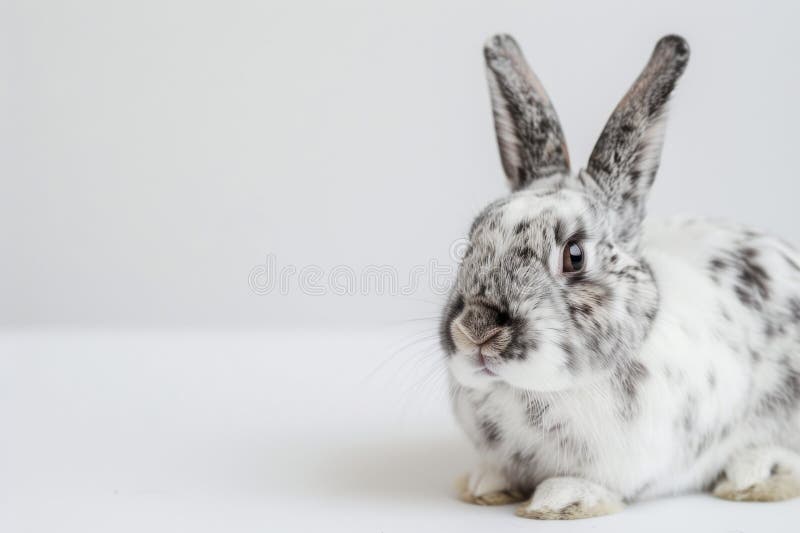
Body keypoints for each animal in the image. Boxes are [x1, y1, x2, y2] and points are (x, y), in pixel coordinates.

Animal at [439, 33, 800, 520]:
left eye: (574, 255)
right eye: (471, 240)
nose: (476, 329)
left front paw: (559, 500)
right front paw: (483, 485)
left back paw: (755, 474)